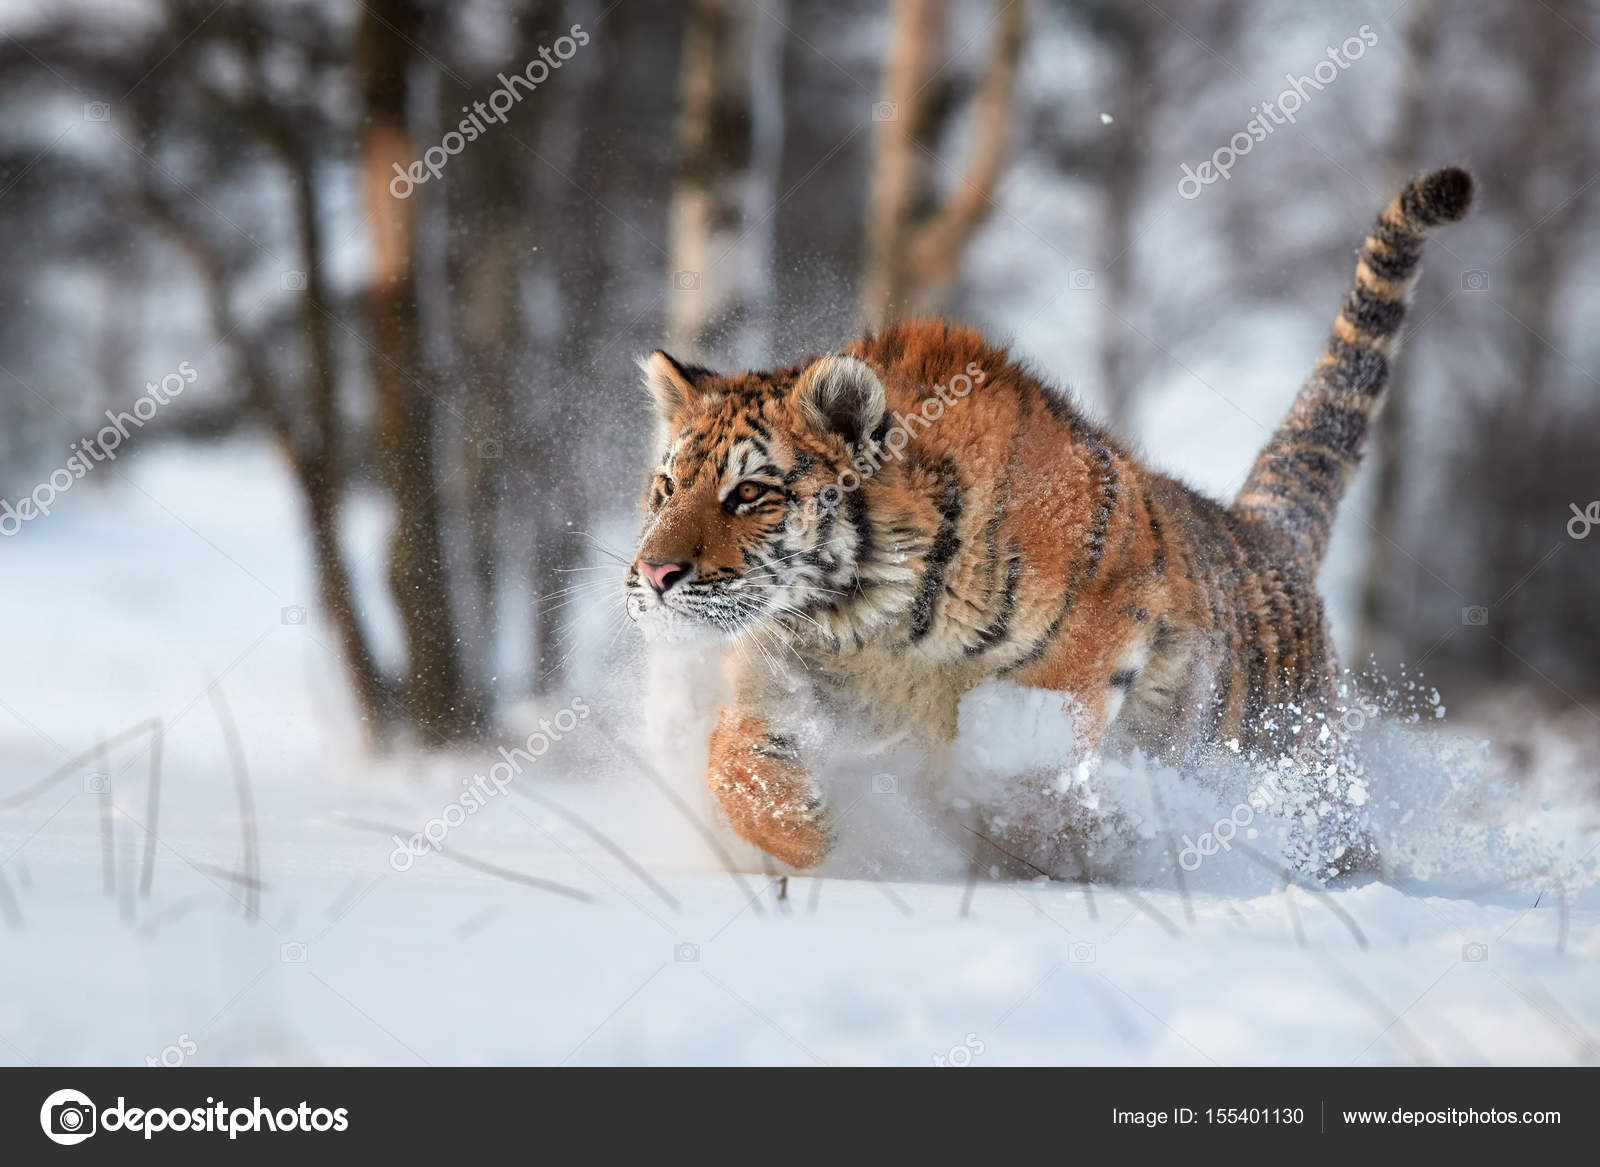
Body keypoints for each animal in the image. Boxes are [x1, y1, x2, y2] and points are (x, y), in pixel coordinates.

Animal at [625, 167, 1473, 876]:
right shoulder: (783, 666)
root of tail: (1267, 532)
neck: (868, 618)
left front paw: (1063, 835)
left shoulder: (1100, 628)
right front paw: (805, 834)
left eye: (749, 494)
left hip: (1306, 764)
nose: (655, 574)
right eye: (666, 488)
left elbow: (1030, 759)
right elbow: (731, 753)